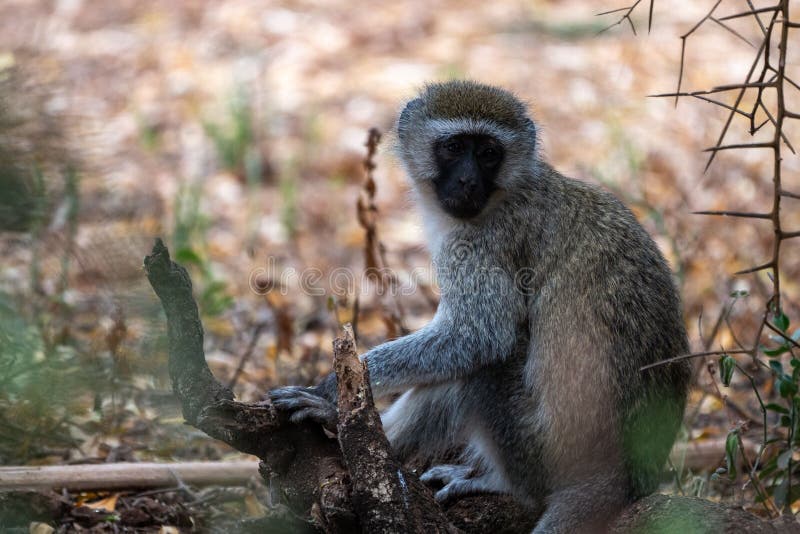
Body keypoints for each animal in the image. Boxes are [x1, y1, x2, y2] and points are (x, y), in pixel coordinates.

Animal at [270, 80, 691, 533]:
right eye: (455, 147)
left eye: (489, 152)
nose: (468, 181)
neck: (507, 192)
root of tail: (622, 477)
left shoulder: (479, 246)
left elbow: (479, 338)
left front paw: (328, 397)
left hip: (542, 451)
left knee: (482, 370)